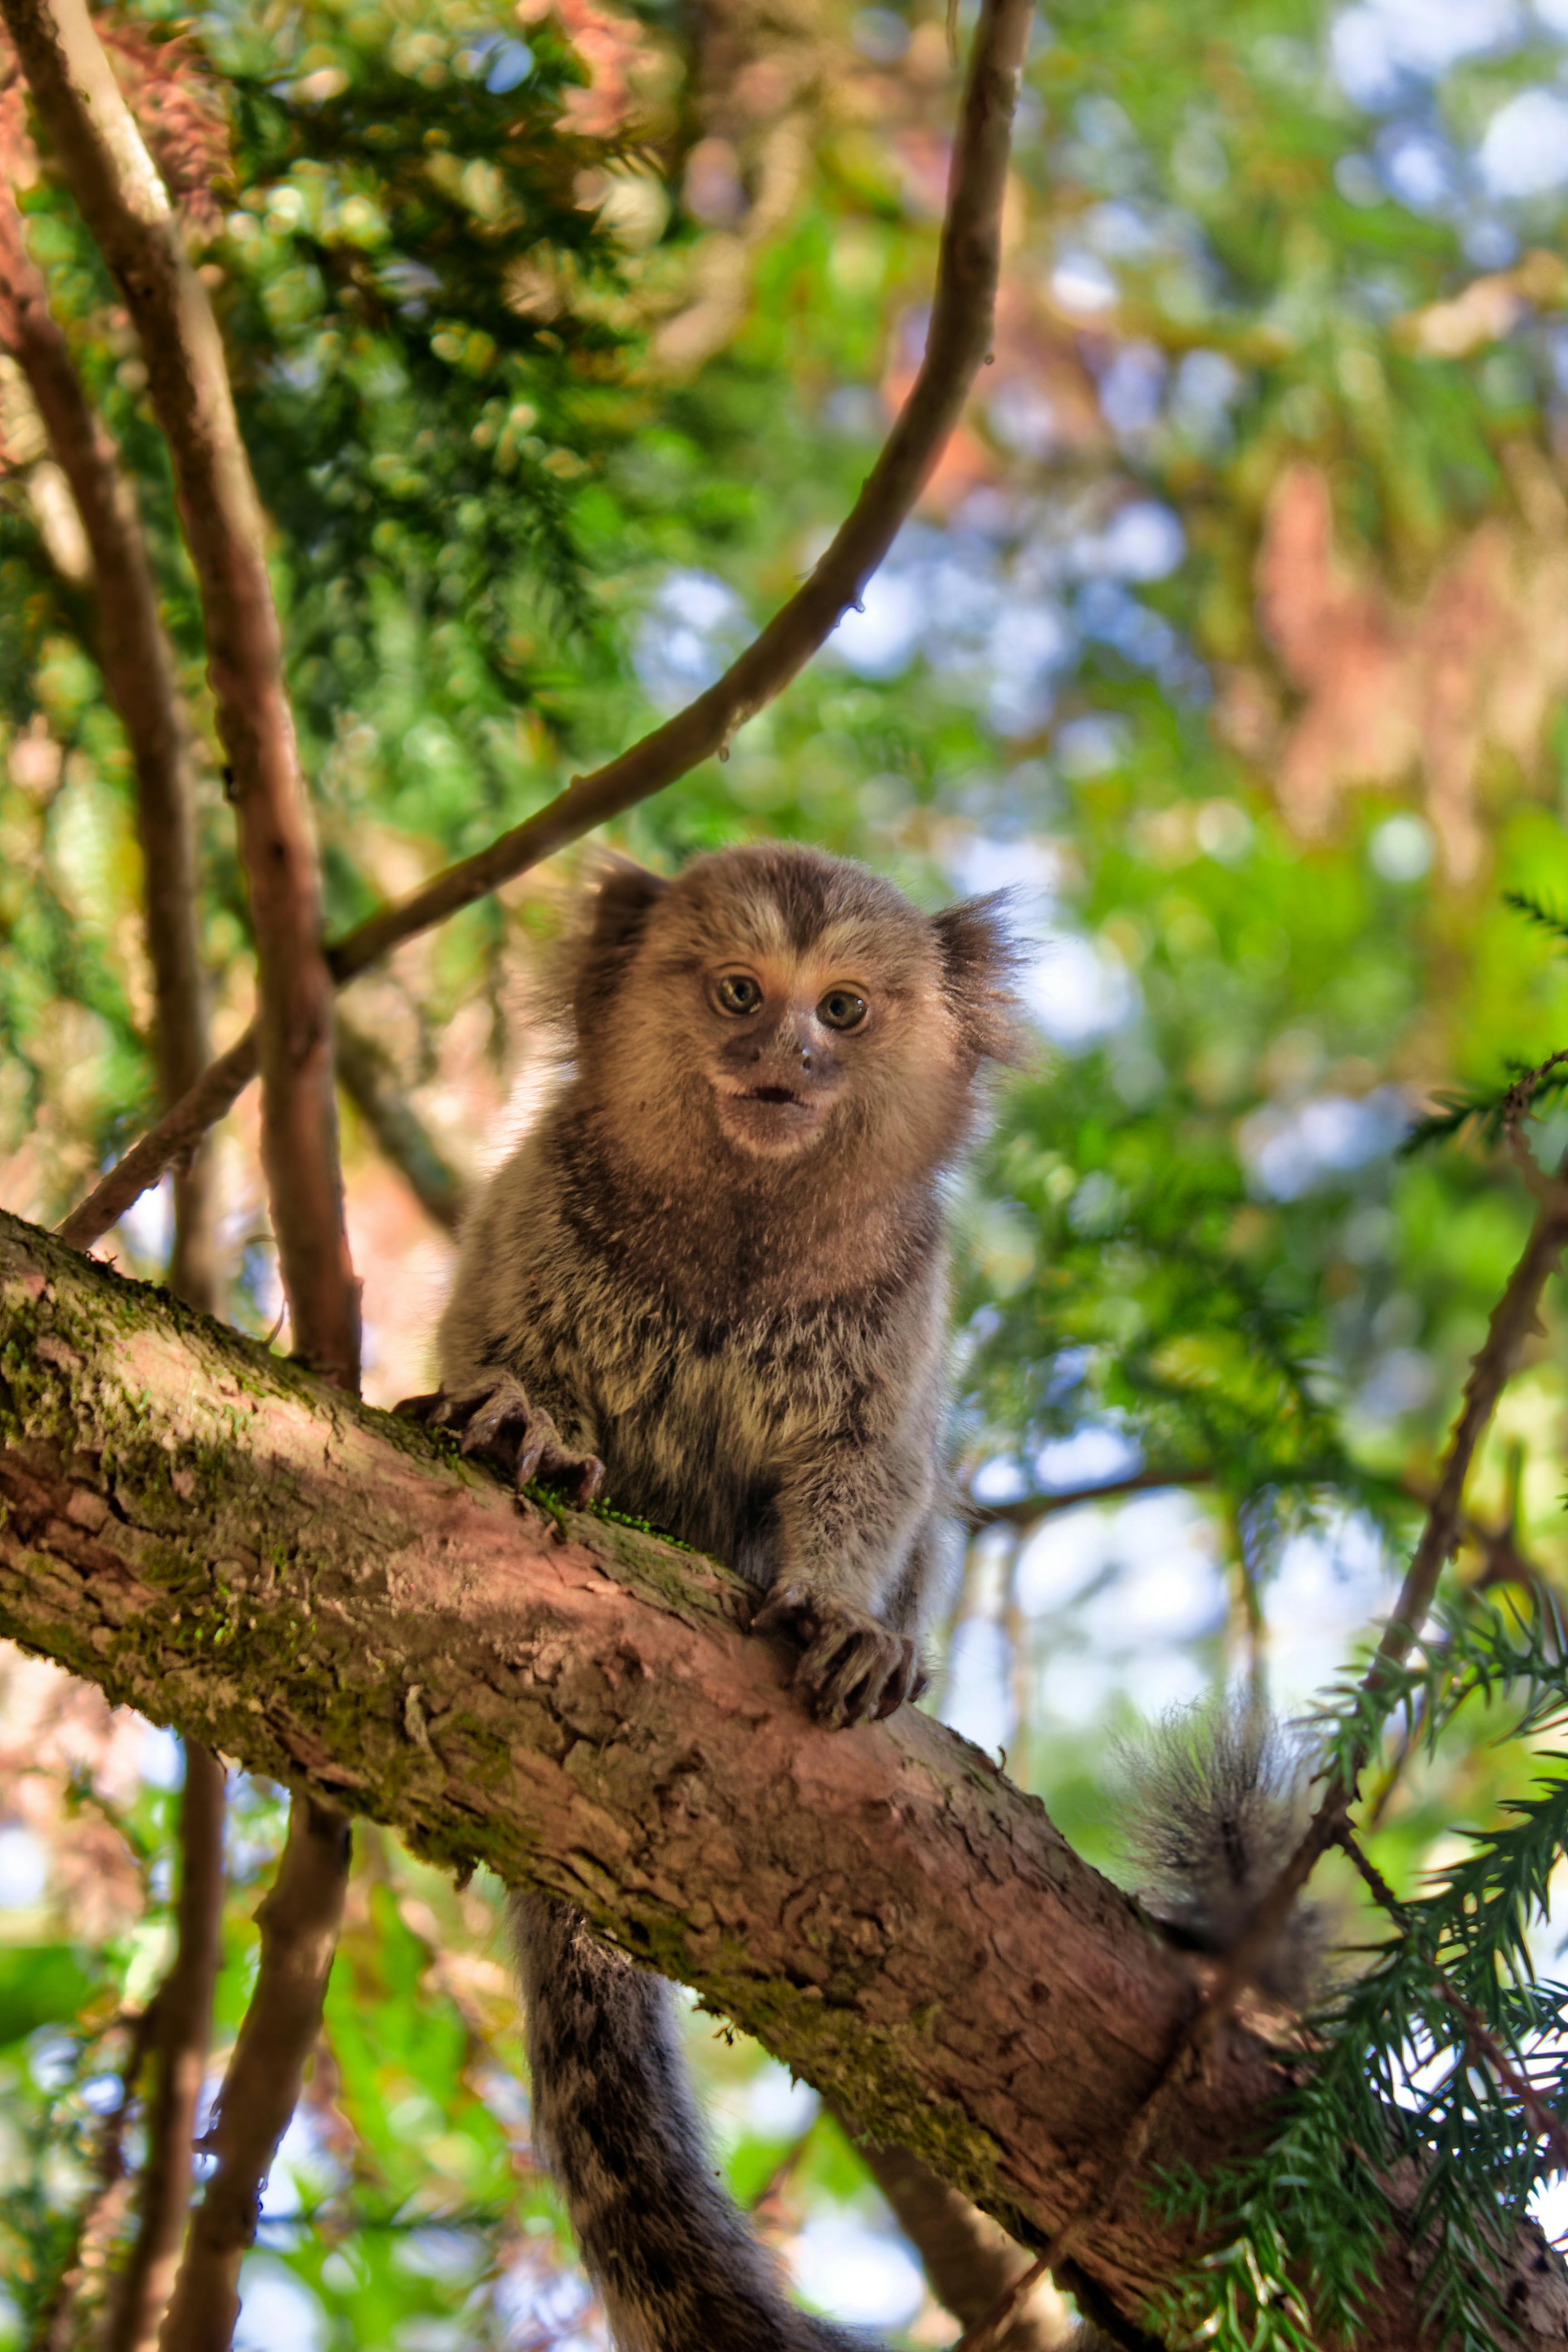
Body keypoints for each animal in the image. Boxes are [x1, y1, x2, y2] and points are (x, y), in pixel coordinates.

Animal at [408, 839, 1026, 2352]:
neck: (745, 1233)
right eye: (742, 991)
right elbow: (495, 1359)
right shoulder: (538, 1211)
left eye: (844, 1010)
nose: (787, 1054)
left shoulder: (898, 1305)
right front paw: (525, 1424)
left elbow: (877, 1479)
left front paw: (849, 1621)